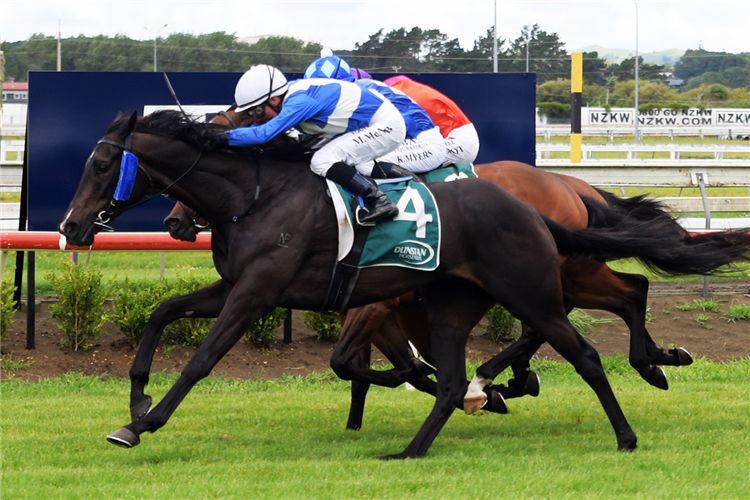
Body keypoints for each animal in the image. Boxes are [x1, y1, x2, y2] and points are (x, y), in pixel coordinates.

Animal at [59, 111, 750, 458]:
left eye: (103, 163)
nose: (70, 226)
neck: (257, 195)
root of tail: (553, 197)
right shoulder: (240, 289)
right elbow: (162, 313)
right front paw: (136, 402)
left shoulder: (264, 295)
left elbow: (204, 360)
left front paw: (143, 424)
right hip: (476, 297)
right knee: (620, 296)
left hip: (541, 284)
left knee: (589, 337)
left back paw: (616, 416)